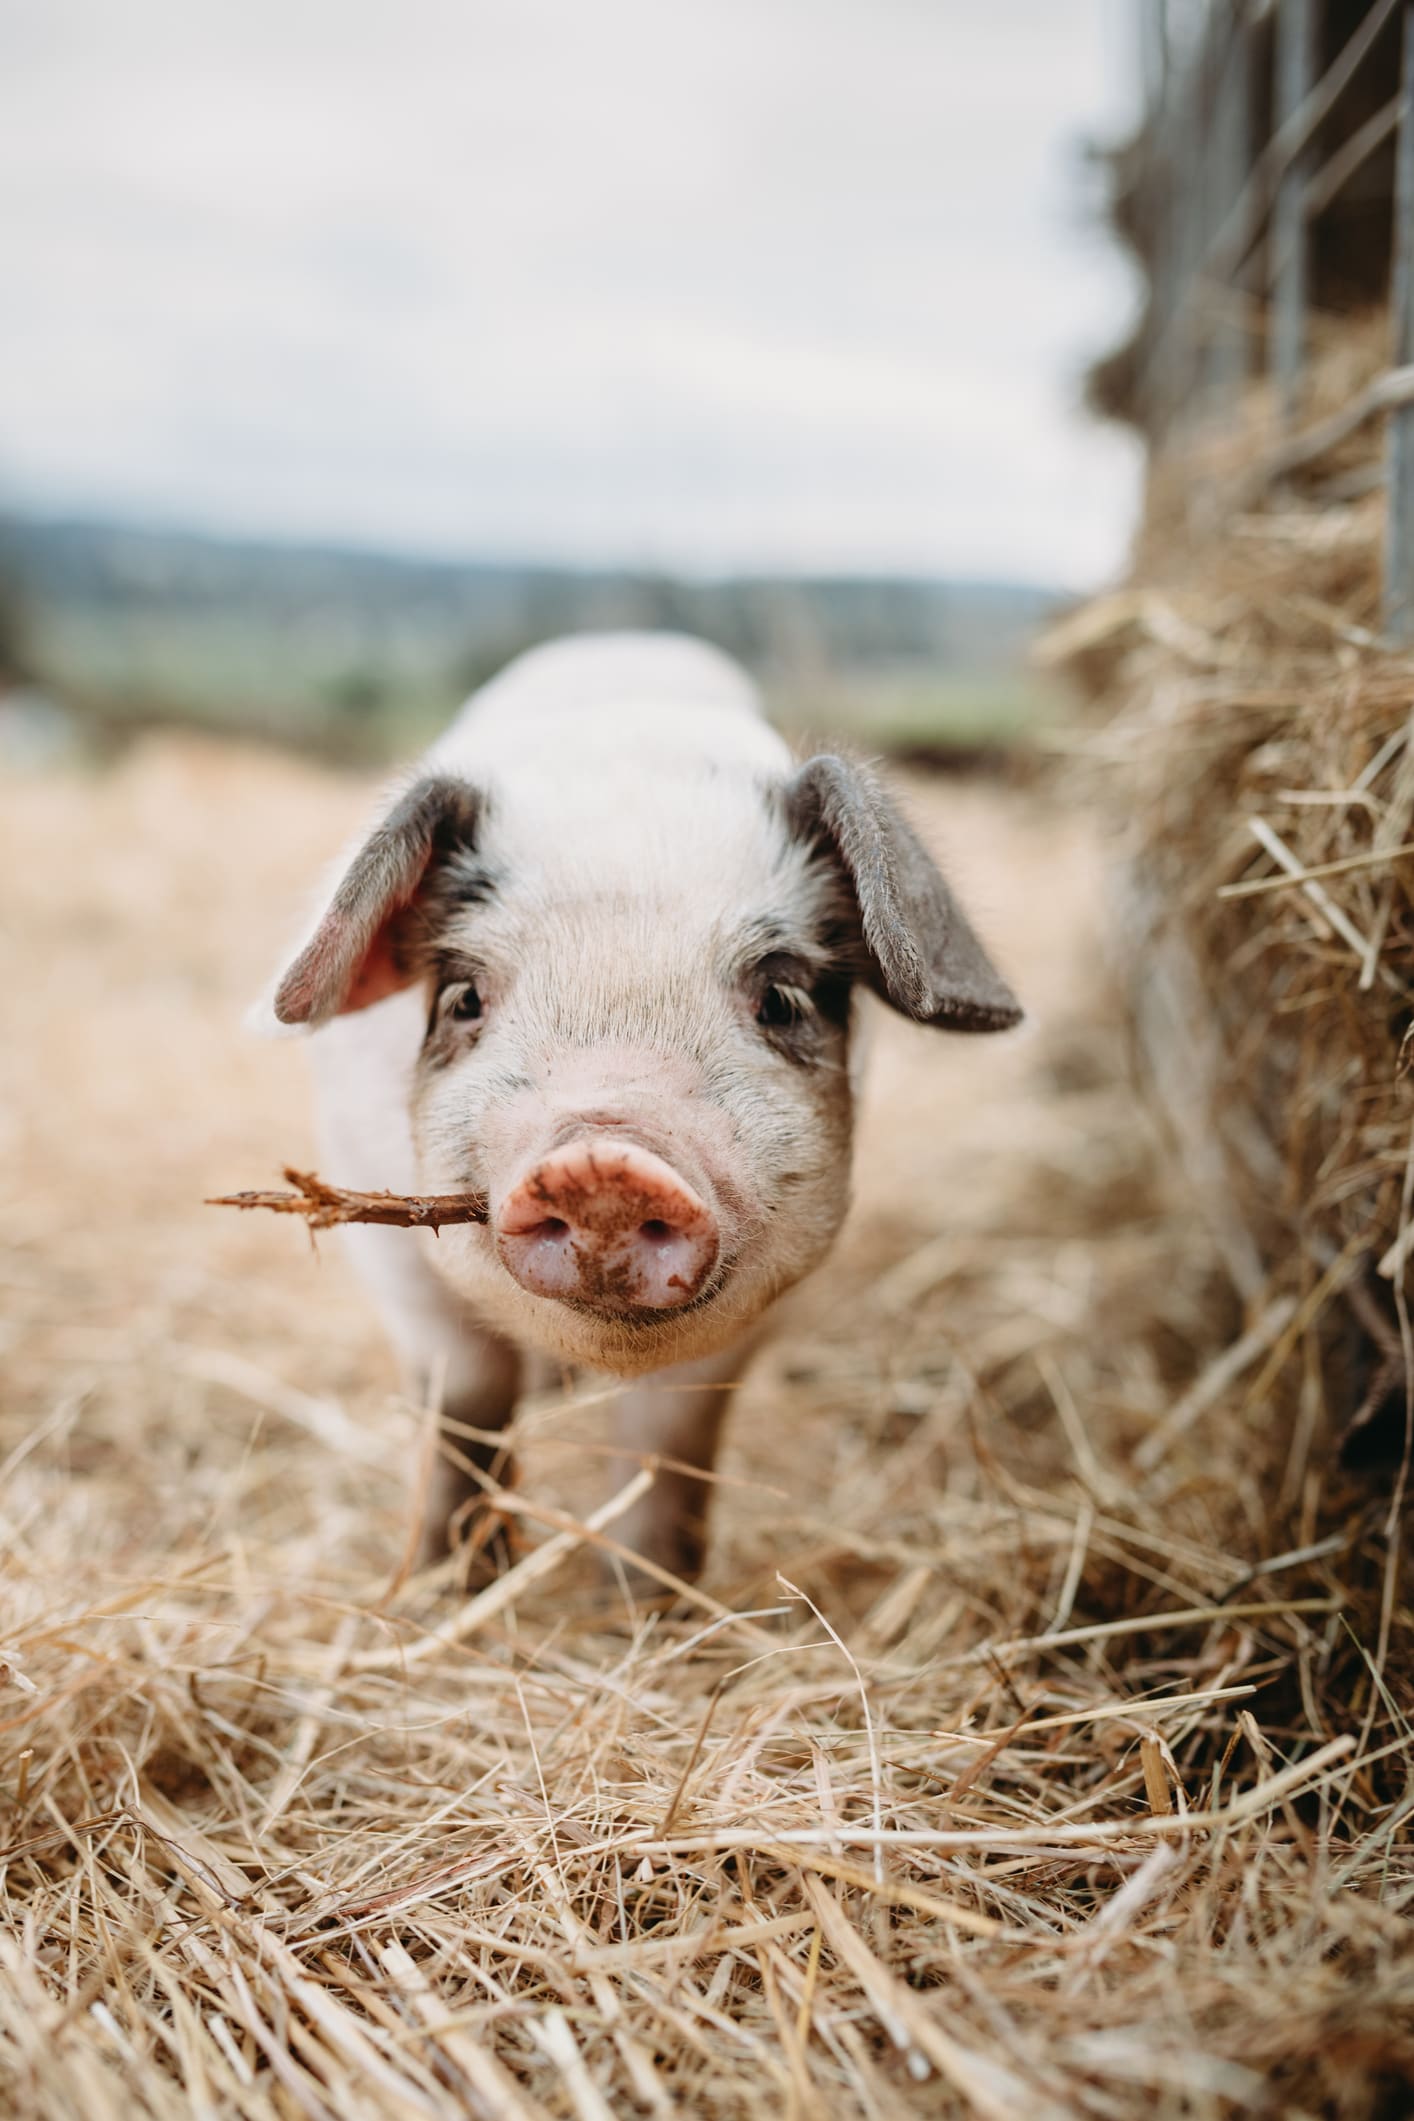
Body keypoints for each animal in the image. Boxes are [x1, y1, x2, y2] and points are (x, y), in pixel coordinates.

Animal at [265, 633, 1020, 1581]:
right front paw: (446, 1580)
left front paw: (644, 1593)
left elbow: (671, 1438)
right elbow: (466, 1406)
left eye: (781, 999)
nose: (604, 1164)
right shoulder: (392, 1256)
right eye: (466, 996)